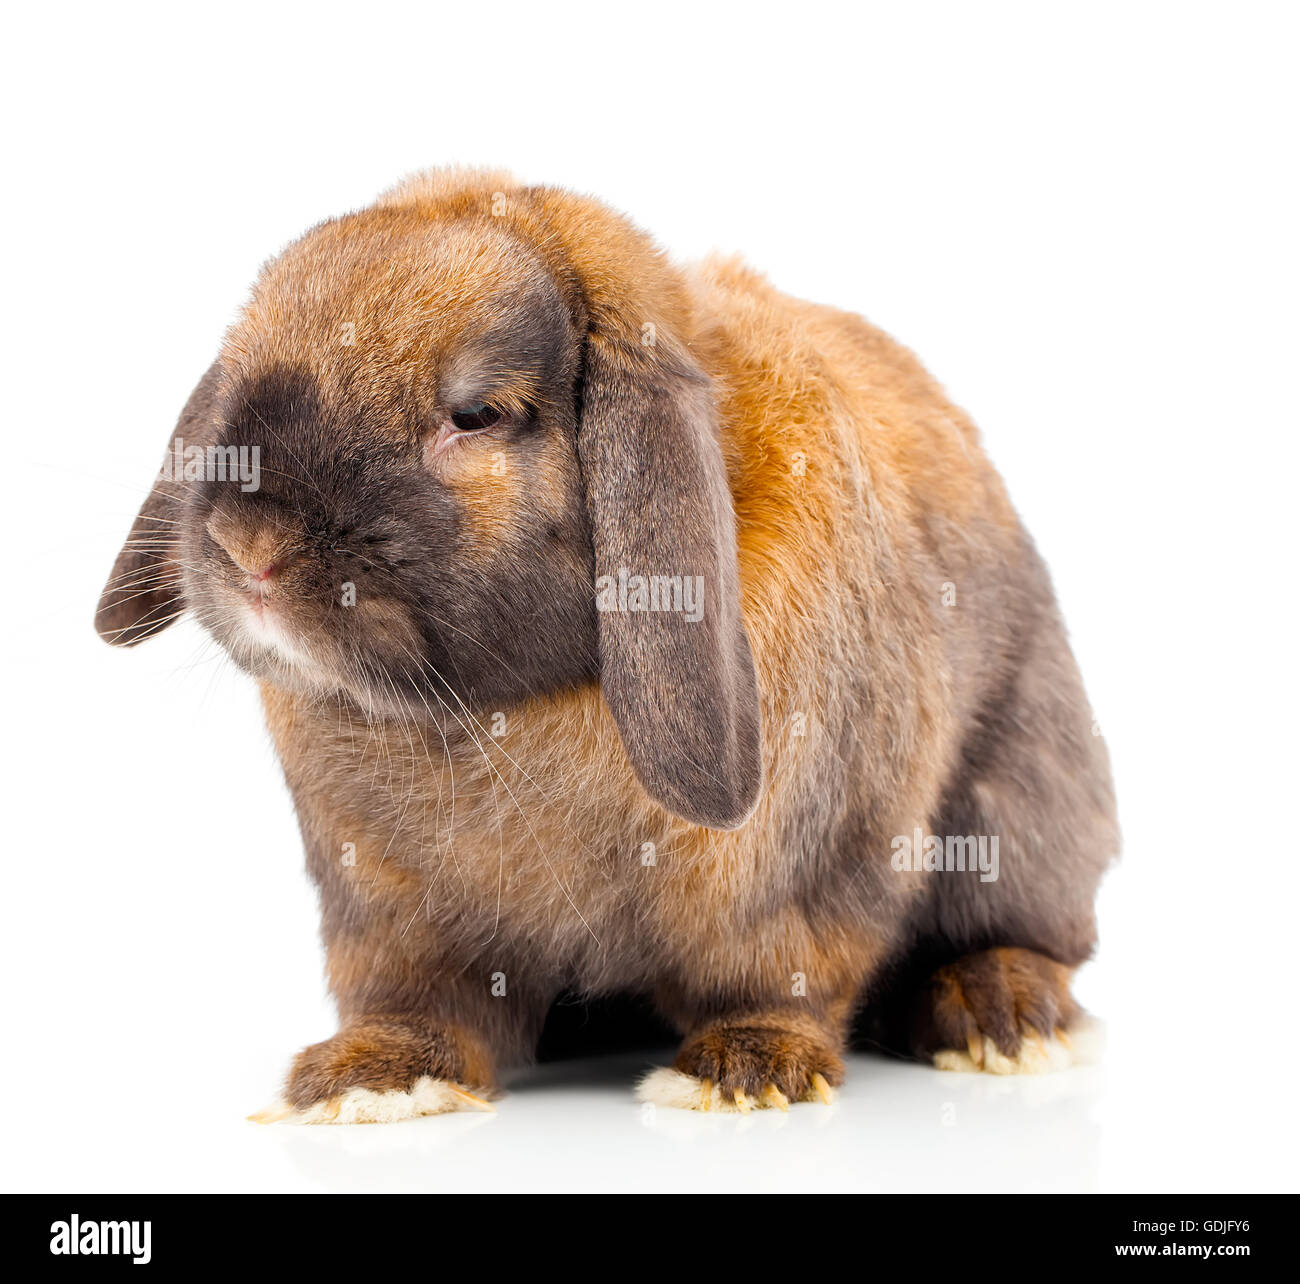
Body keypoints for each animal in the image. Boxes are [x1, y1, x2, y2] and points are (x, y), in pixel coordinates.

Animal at [96, 168, 1118, 1121]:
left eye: (476, 413)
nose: (248, 546)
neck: (495, 712)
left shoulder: (807, 869)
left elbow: (785, 977)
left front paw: (746, 1071)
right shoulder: (386, 913)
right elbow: (415, 1000)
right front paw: (370, 1079)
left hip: (1020, 804)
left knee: (1031, 933)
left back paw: (1000, 1016)